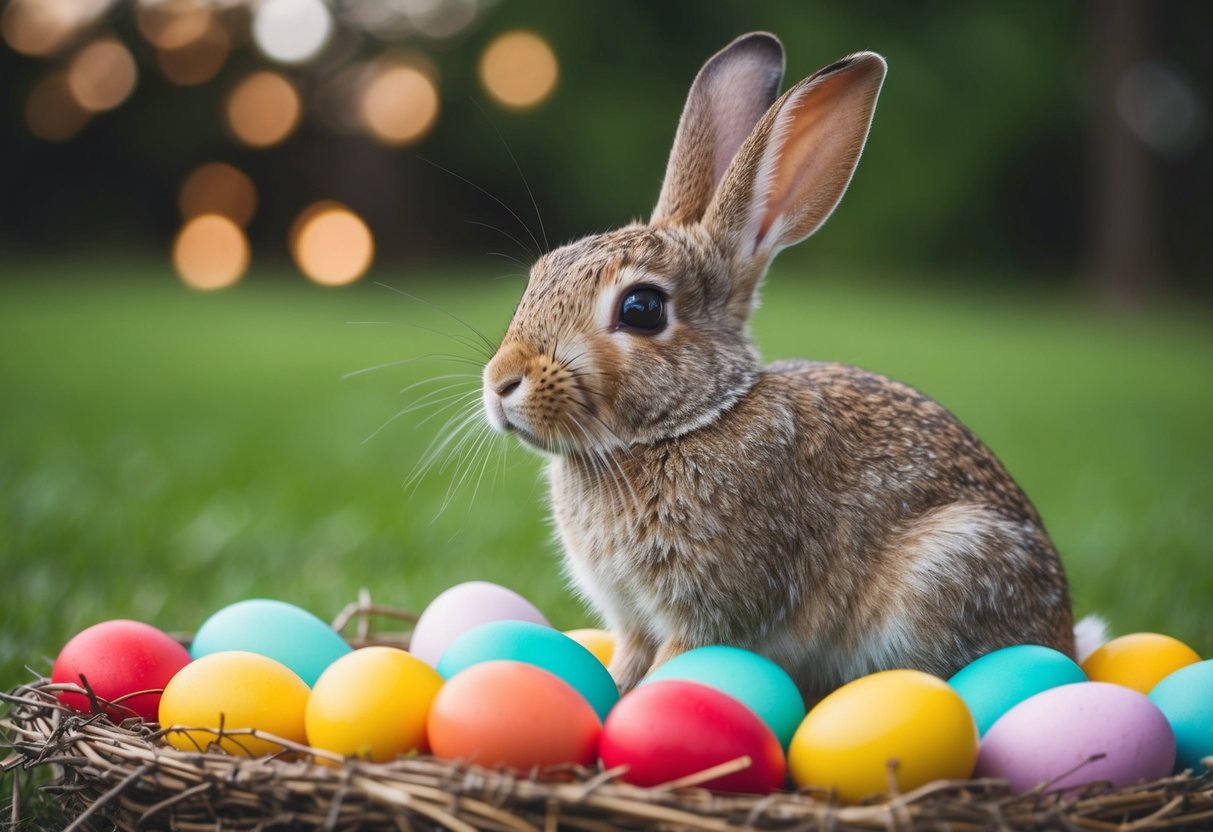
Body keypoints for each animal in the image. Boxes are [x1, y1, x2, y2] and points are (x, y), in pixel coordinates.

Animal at [481, 31, 1081, 700]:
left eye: (642, 309)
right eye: (539, 275)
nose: (500, 382)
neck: (696, 419)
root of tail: (1065, 631)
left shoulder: (709, 613)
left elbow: (671, 668)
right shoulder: (634, 623)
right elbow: (625, 667)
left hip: (949, 569)